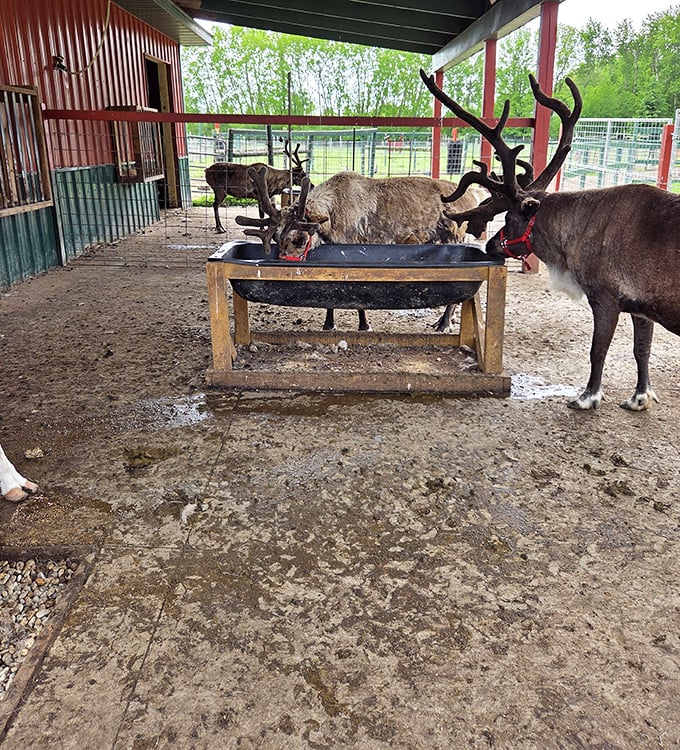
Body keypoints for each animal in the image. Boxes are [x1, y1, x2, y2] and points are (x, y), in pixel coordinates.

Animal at [236, 167, 487, 332]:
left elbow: (358, 299)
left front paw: (364, 325)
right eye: (276, 238)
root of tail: (473, 196)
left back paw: (443, 323)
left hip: (454, 236)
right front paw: (329, 324)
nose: (281, 269)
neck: (332, 218)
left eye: (299, 239)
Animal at [420, 67, 680, 411]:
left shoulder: (605, 298)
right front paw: (640, 396)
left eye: (510, 218)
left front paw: (587, 396)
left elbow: (597, 350)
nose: (490, 244)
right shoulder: (641, 307)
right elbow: (642, 350)